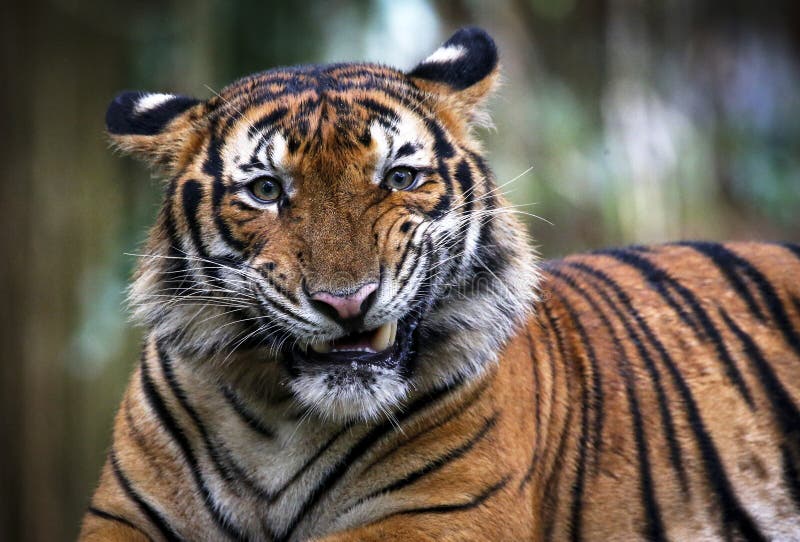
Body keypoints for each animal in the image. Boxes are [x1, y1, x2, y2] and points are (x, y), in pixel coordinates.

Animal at [80, 27, 800, 541]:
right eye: (265, 191)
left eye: (399, 177)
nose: (346, 301)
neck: (279, 423)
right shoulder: (124, 514)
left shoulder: (441, 515)